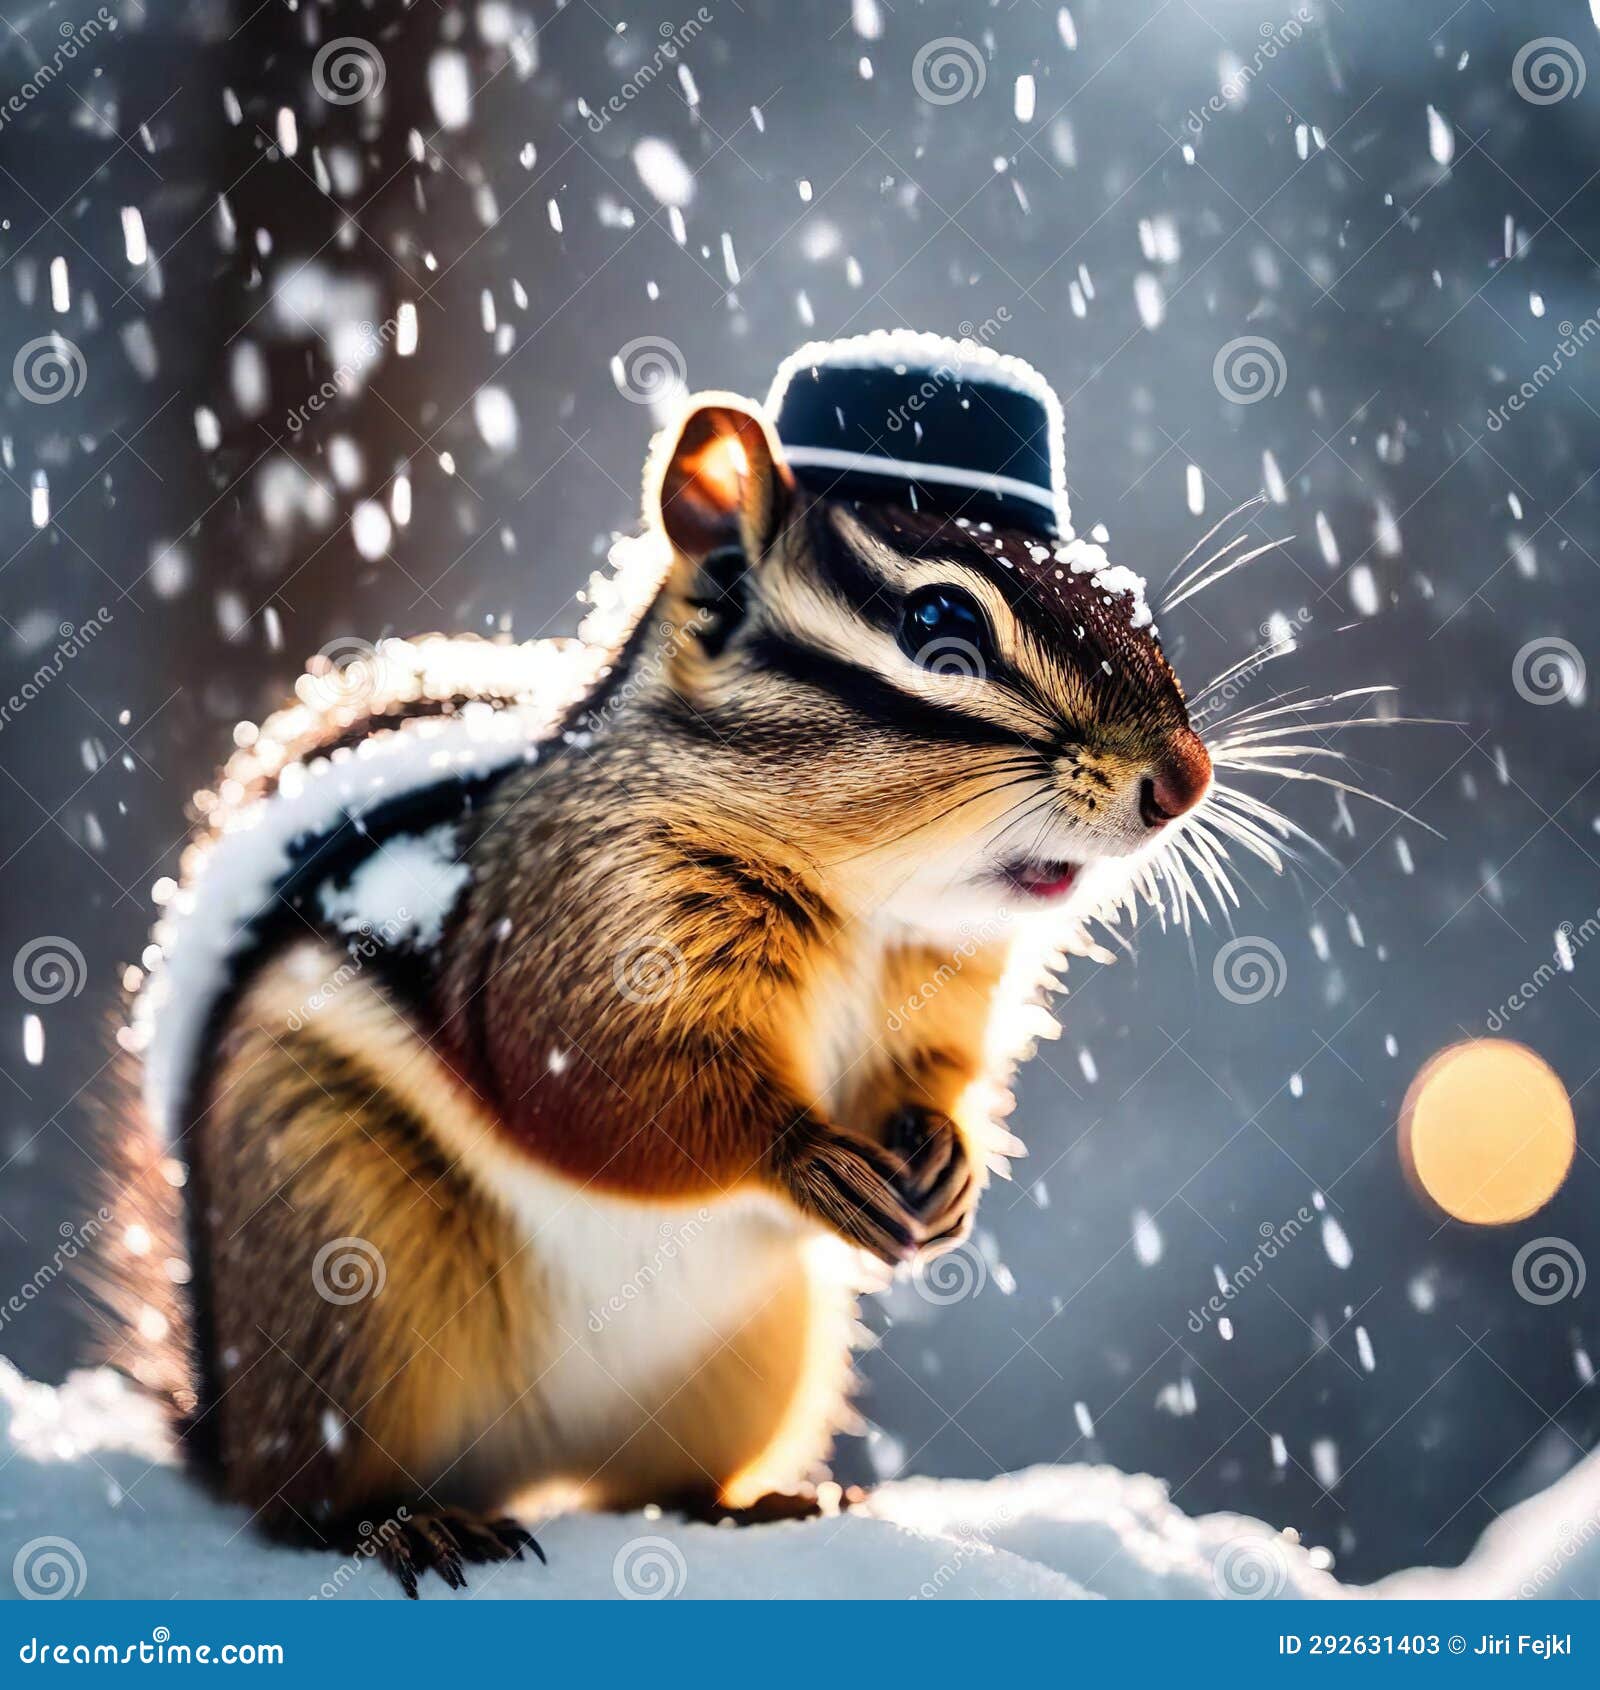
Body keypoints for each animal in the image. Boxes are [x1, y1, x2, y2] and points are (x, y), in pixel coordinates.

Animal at [100, 336, 1224, 1596]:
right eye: (940, 617)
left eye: (1122, 600)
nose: (1187, 777)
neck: (868, 904)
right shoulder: (586, 939)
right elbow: (614, 1090)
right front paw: (804, 1156)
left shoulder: (942, 989)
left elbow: (935, 1076)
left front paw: (945, 1159)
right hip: (342, 1266)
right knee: (298, 1508)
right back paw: (408, 1526)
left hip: (755, 1356)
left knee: (651, 1487)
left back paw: (766, 1502)